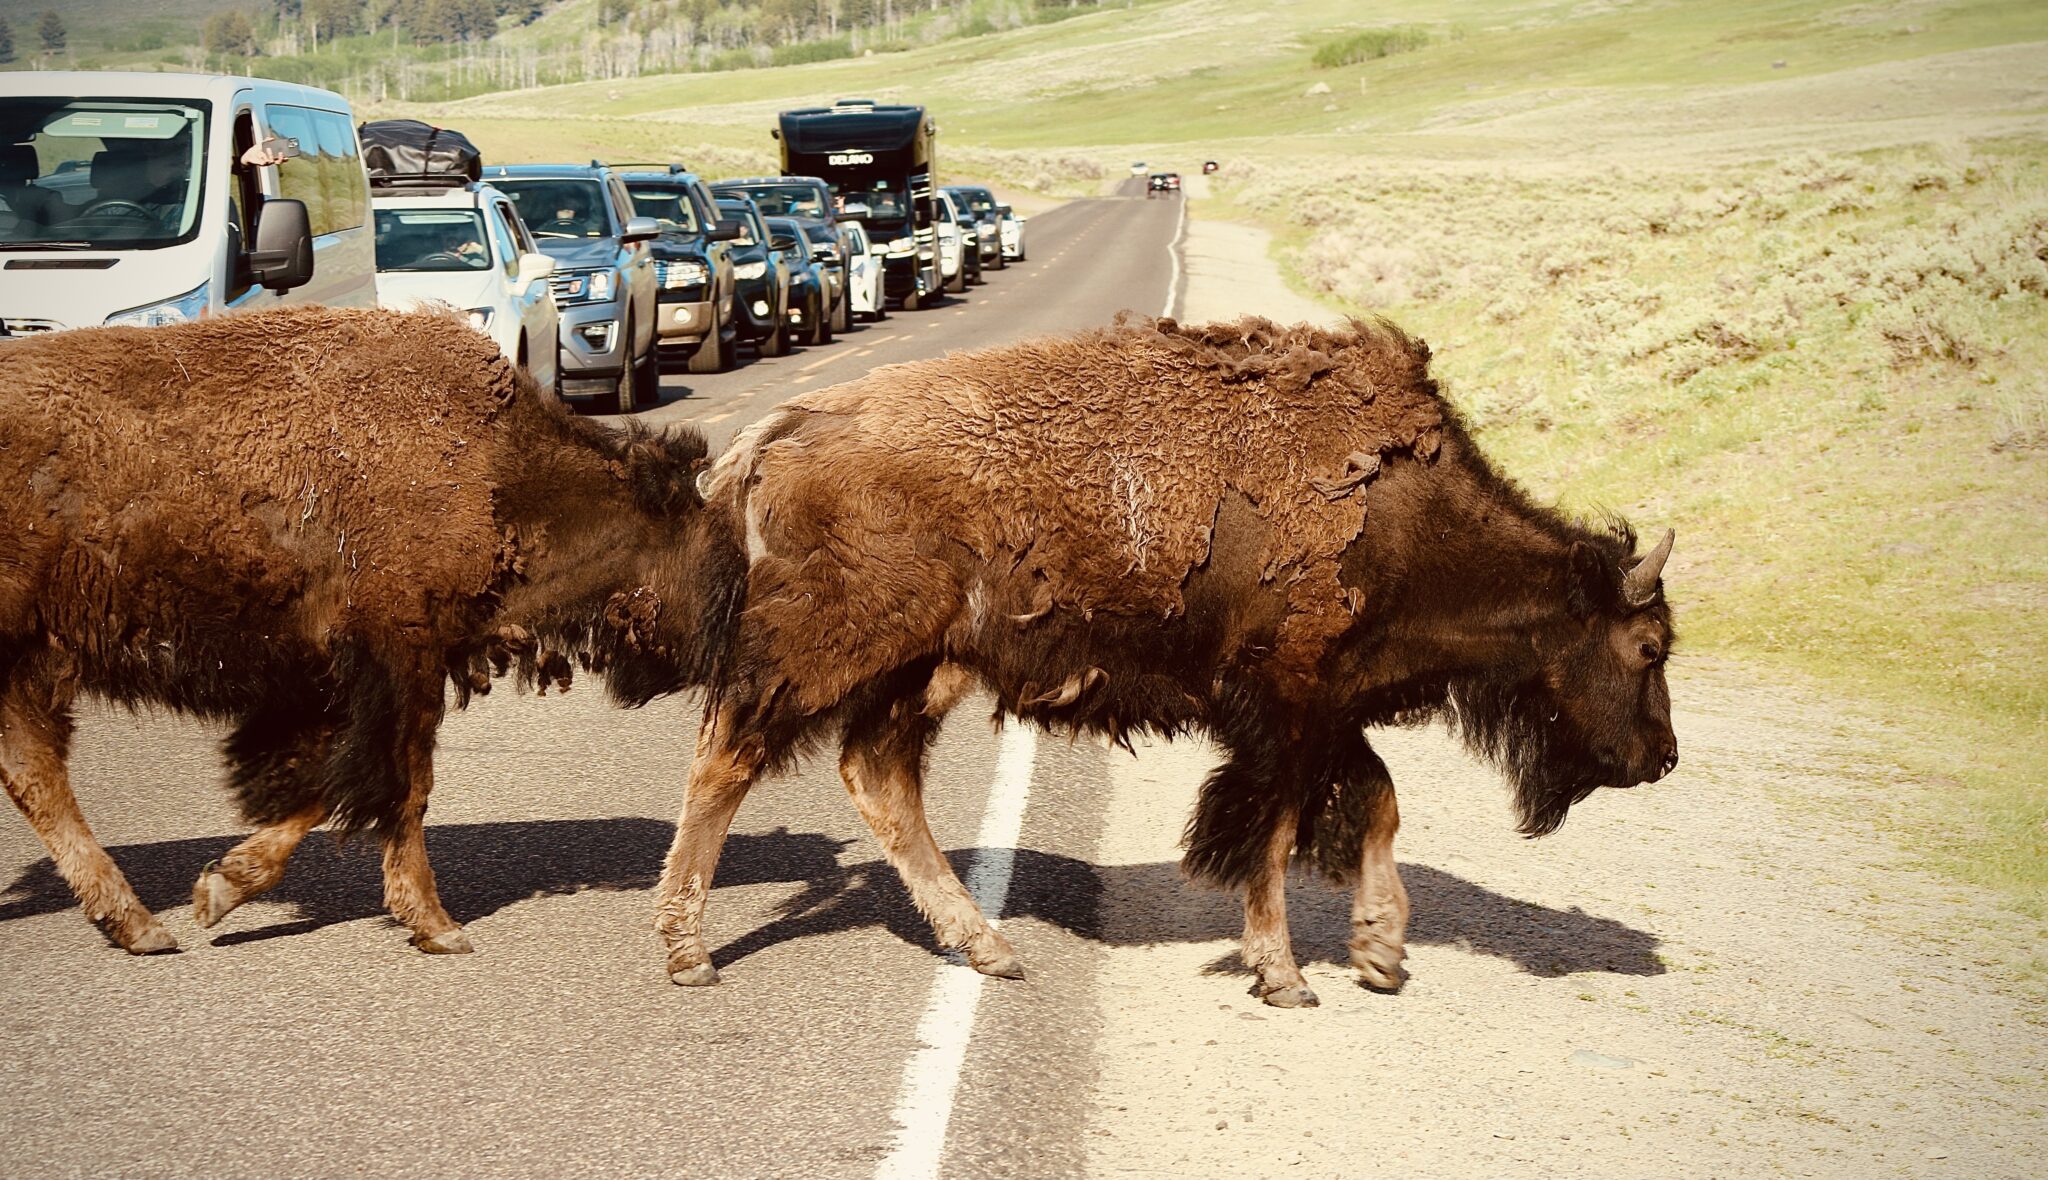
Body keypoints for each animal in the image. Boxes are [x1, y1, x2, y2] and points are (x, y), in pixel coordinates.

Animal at [0, 306, 743, 955]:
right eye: (713, 549)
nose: (722, 650)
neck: (496, 467)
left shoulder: (338, 680)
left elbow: (325, 785)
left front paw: (221, 888)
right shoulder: (400, 658)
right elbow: (399, 784)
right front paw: (438, 925)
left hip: (29, 664)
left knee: (34, 772)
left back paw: (138, 926)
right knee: (38, 774)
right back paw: (140, 924)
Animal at [658, 315, 1677, 1007]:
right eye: (1649, 646)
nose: (1663, 757)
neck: (1403, 518)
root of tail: (784, 428)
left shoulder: (1325, 711)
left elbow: (1377, 804)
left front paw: (1380, 954)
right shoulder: (1284, 711)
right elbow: (1273, 835)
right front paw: (1286, 975)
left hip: (924, 669)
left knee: (878, 778)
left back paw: (989, 947)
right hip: (827, 656)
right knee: (726, 764)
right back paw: (689, 955)